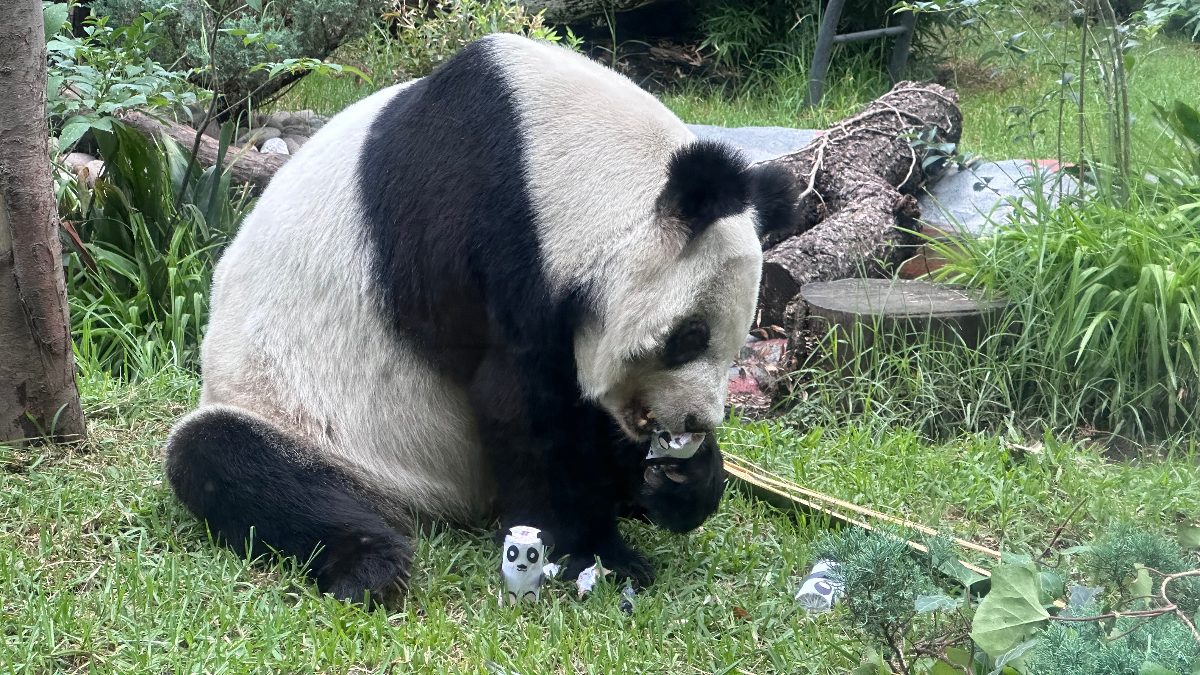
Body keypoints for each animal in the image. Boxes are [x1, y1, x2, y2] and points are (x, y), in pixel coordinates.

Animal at [163, 32, 797, 606]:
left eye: (735, 345)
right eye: (688, 337)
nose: (694, 420)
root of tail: (423, 503)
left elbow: (581, 409)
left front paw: (684, 481)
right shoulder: (485, 223)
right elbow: (519, 401)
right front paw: (598, 552)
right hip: (298, 413)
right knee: (230, 461)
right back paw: (371, 563)